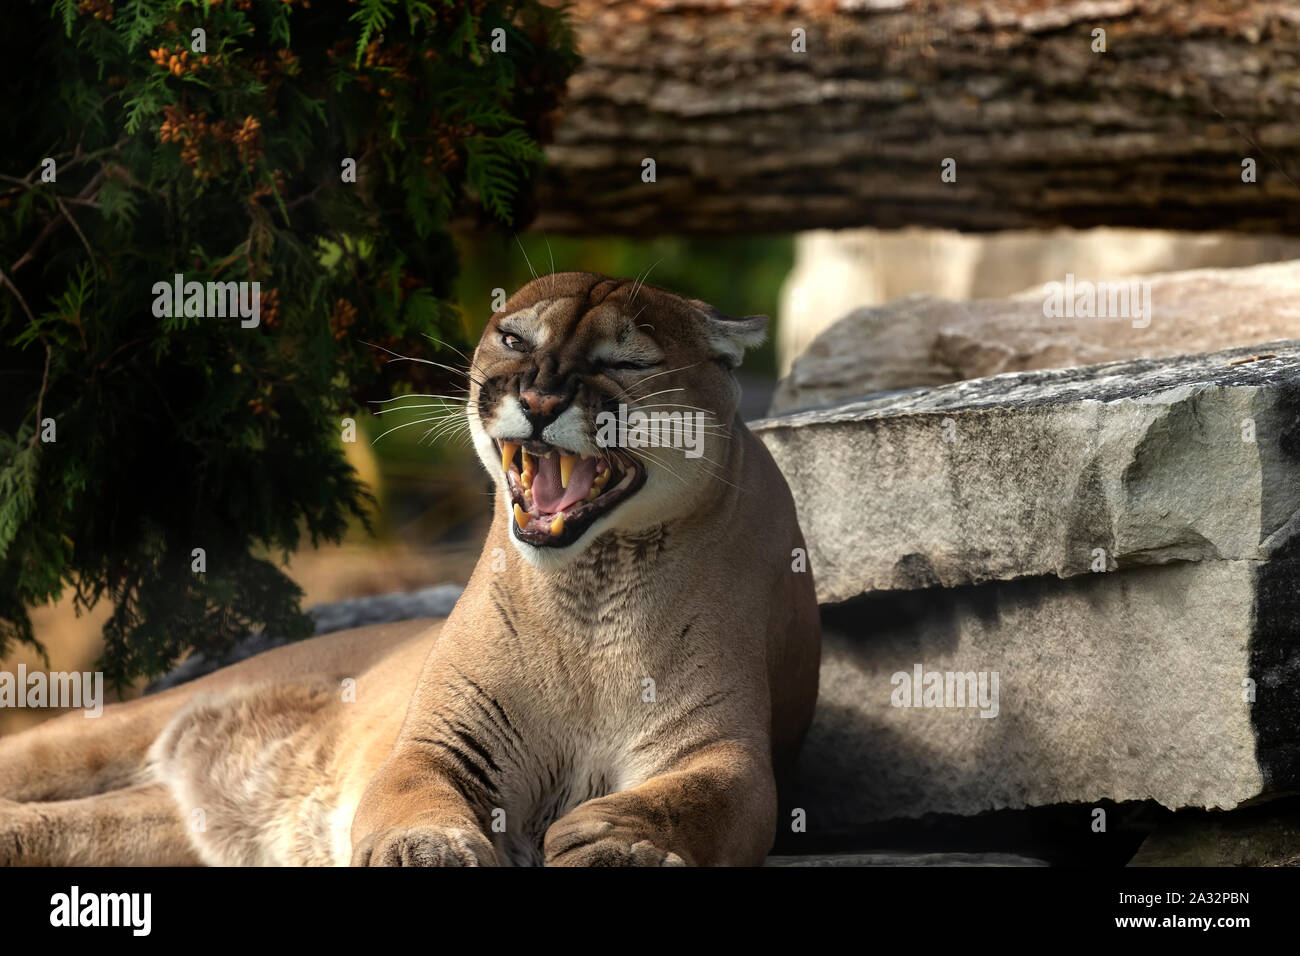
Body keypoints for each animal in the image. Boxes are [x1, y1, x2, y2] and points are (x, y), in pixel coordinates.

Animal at [0, 272, 821, 866]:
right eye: (514, 338)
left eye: (624, 360)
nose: (540, 397)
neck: (589, 592)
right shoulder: (440, 739)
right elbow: (412, 794)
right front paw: (427, 848)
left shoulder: (726, 749)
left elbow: (701, 798)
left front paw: (618, 843)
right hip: (115, 729)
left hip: (153, 825)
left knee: (46, 827)